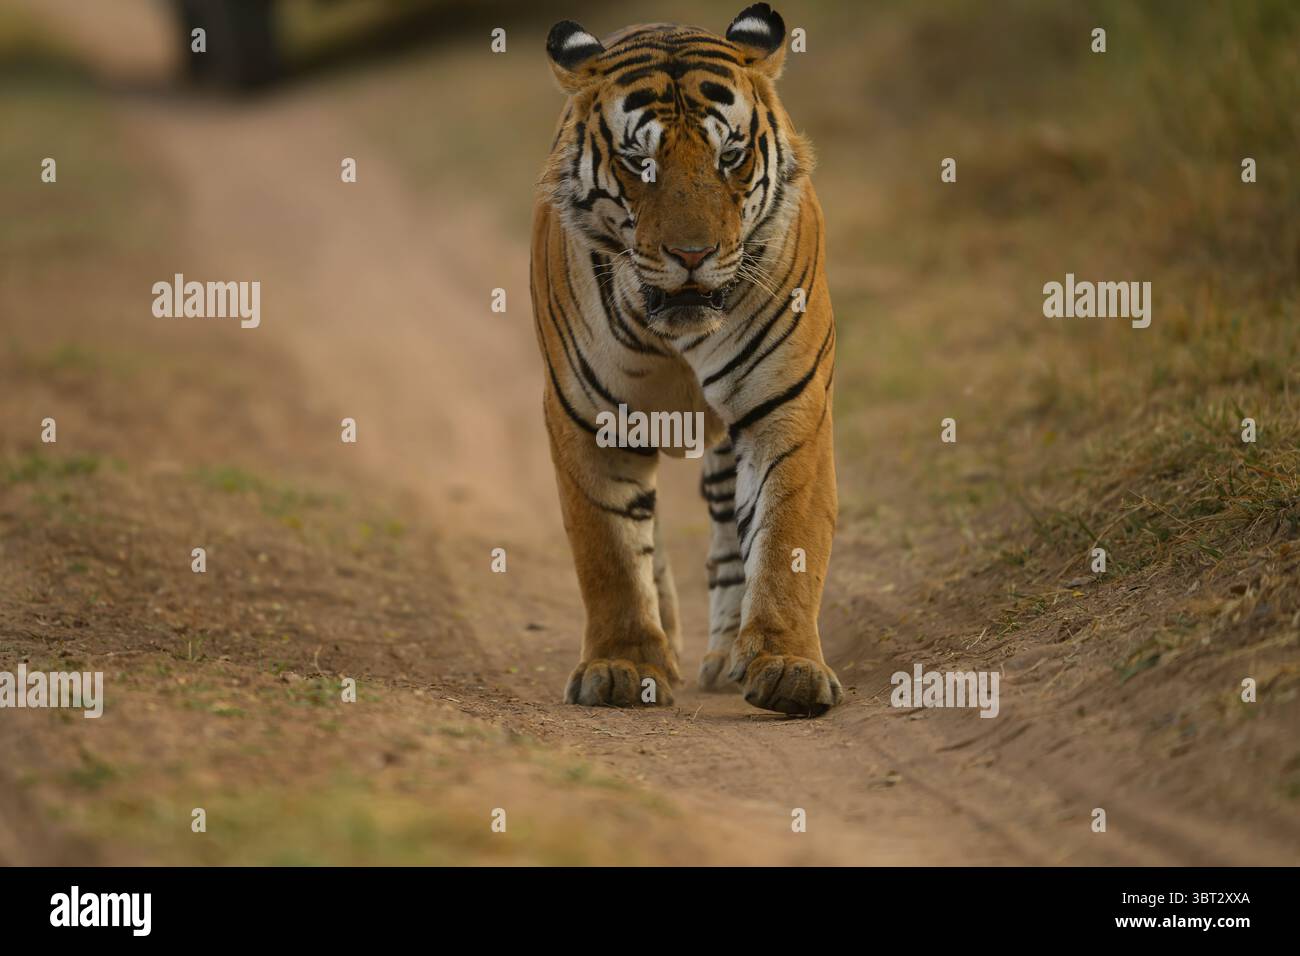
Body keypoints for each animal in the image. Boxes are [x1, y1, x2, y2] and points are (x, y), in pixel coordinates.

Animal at [531, 3, 841, 716]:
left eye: (730, 156)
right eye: (637, 162)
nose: (693, 255)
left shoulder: (787, 406)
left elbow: (787, 538)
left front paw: (787, 665)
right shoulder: (589, 419)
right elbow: (611, 553)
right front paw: (622, 664)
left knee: (730, 538)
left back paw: (727, 655)